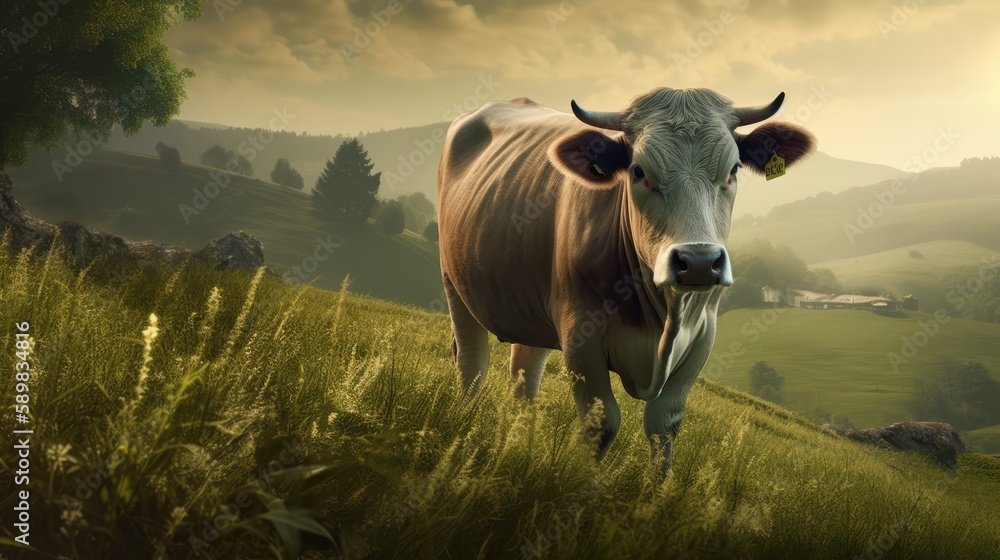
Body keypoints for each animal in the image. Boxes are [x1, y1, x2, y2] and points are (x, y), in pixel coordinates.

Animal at [436, 87, 815, 468]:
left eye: (733, 169)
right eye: (638, 170)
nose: (698, 262)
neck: (663, 318)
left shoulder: (702, 337)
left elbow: (663, 424)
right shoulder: (580, 335)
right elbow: (601, 423)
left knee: (524, 377)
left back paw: (517, 443)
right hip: (453, 281)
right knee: (471, 364)